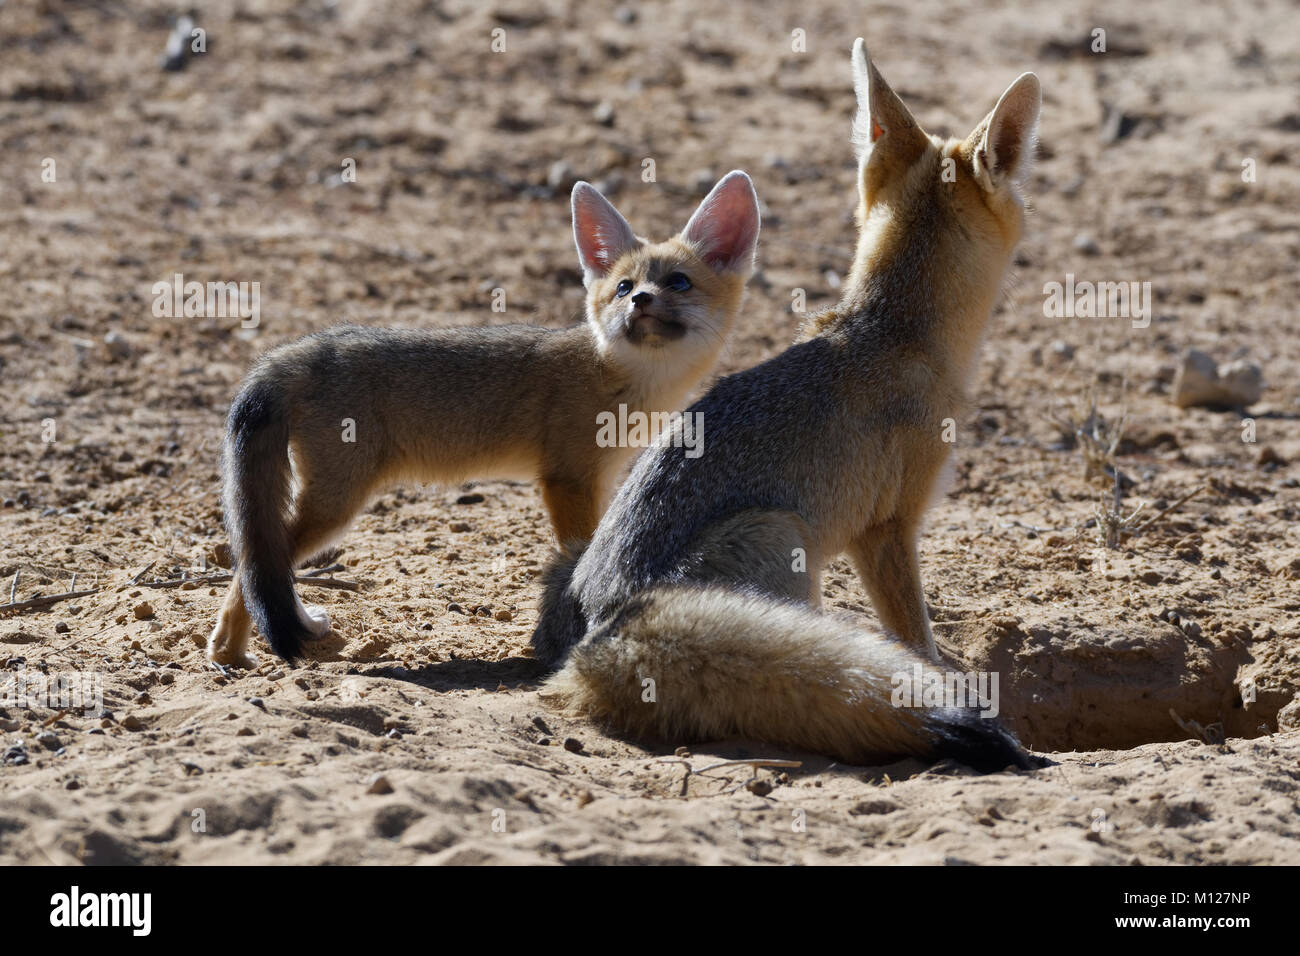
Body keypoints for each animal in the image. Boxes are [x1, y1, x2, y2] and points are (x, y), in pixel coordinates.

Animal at [208, 171, 761, 667]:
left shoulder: (597, 481)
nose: (642, 300)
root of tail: (304, 347)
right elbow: (581, 554)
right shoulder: (567, 480)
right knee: (257, 564)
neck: (625, 380)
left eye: (678, 282)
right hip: (337, 504)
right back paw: (230, 652)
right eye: (625, 287)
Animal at [530, 41, 1046, 772]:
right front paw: (937, 677)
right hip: (786, 533)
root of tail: (599, 631)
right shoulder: (887, 528)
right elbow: (913, 635)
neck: (891, 331)